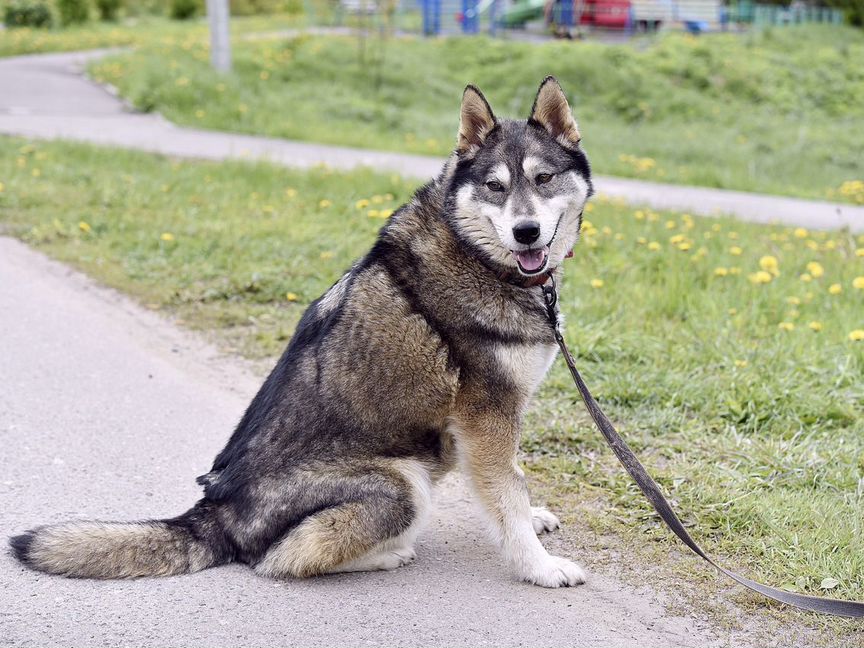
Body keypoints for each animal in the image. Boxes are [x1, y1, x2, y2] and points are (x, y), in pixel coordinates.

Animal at [10, 76, 592, 588]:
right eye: (495, 187)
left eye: (543, 180)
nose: (525, 232)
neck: (477, 254)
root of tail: (216, 511)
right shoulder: (486, 417)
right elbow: (506, 496)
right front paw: (539, 567)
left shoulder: (497, 420)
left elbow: (514, 482)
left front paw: (534, 516)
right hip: (403, 483)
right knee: (283, 559)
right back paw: (386, 555)